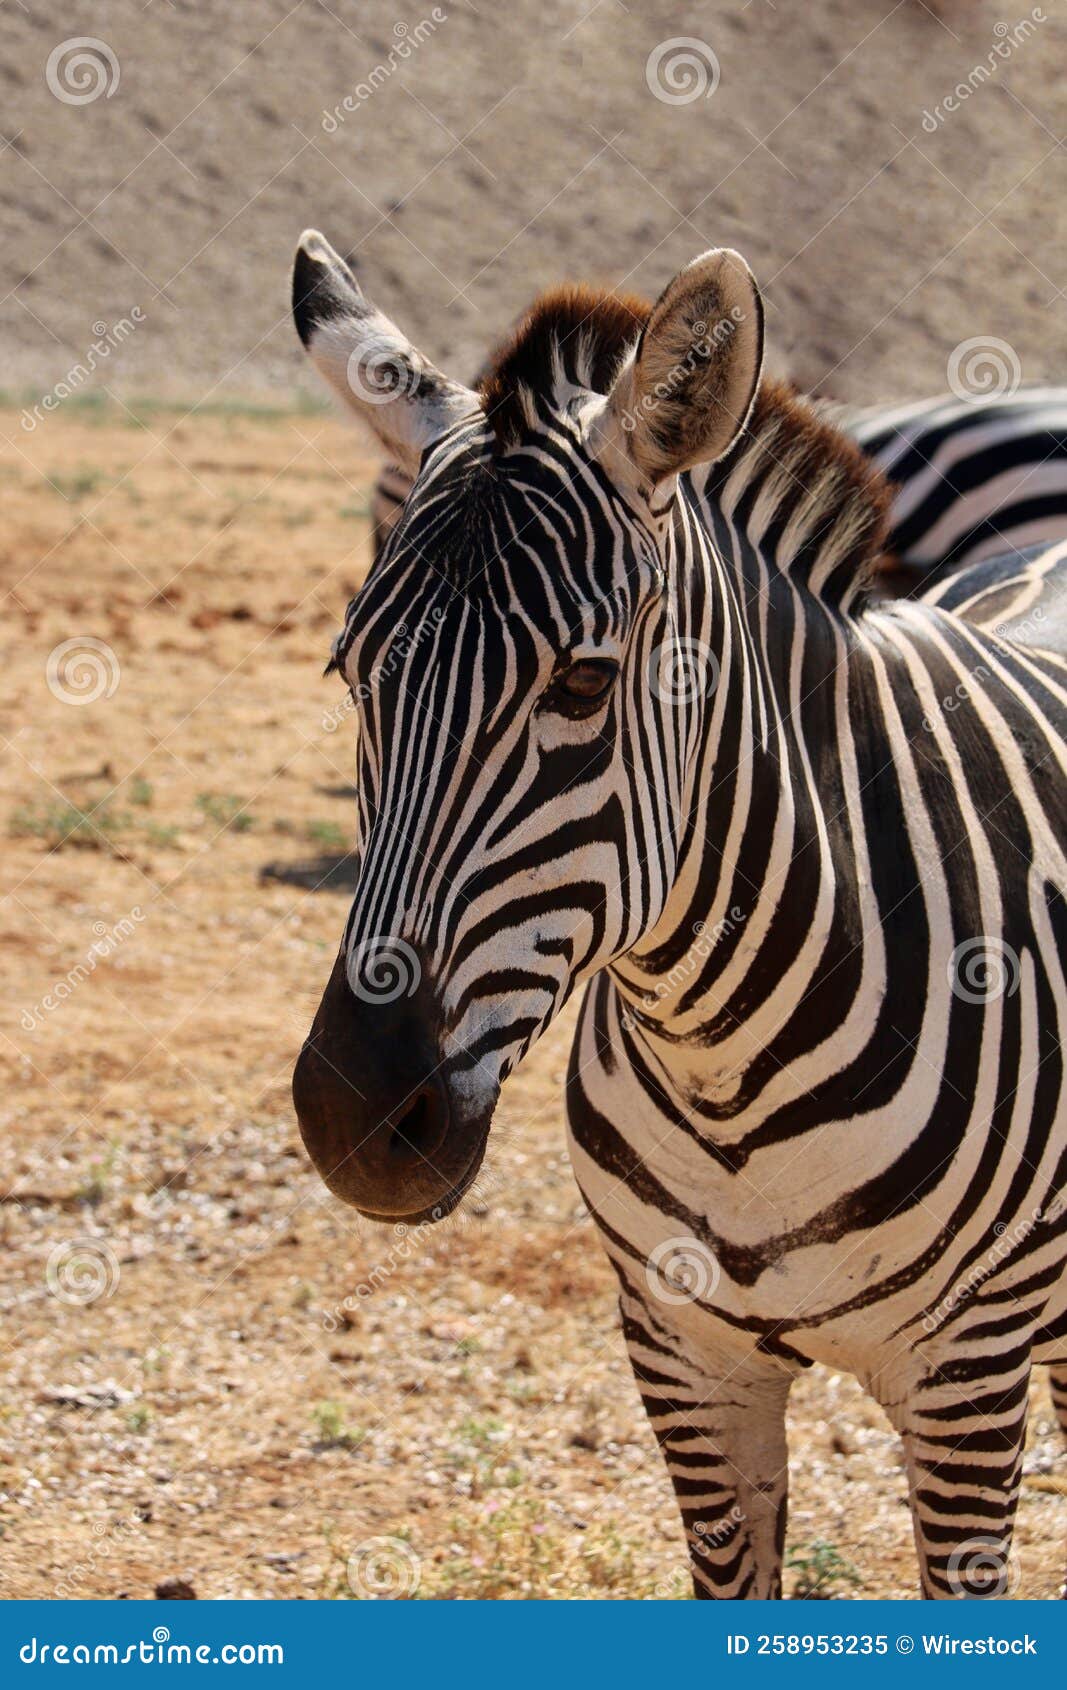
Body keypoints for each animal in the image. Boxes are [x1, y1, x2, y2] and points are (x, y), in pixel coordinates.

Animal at [290, 230, 1067, 1600]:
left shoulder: (968, 1379)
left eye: (584, 683)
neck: (727, 1073)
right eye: (351, 673)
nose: (353, 1119)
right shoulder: (682, 1356)